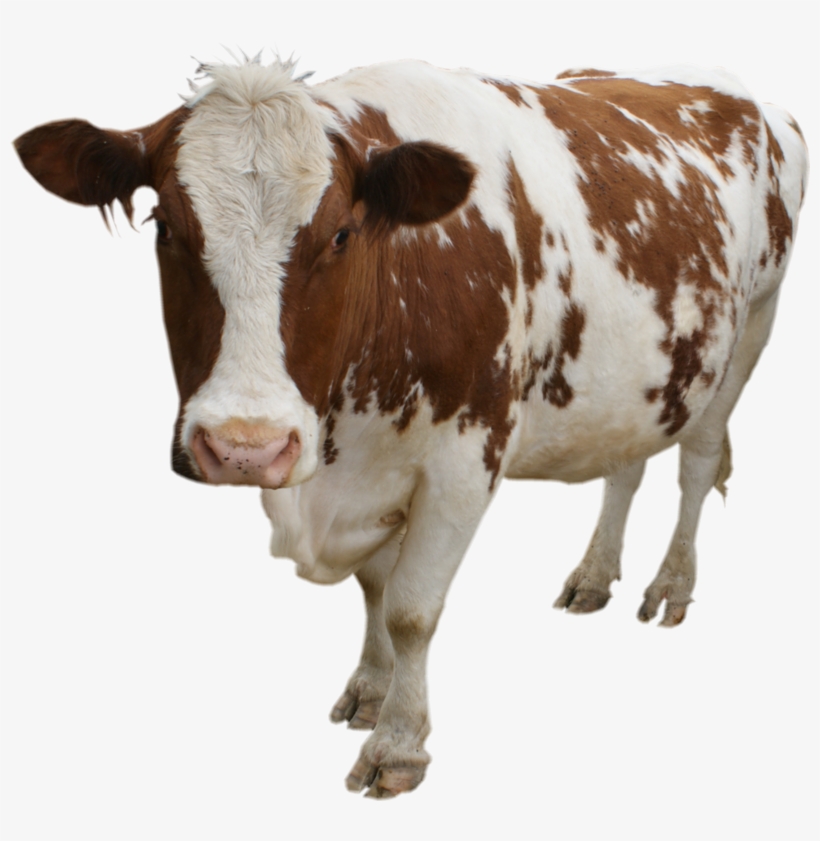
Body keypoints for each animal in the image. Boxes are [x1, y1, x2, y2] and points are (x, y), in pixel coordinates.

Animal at [15, 56, 808, 798]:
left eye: (341, 233)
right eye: (165, 228)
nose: (245, 447)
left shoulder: (465, 460)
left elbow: (411, 609)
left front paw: (398, 744)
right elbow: (374, 586)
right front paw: (370, 689)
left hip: (750, 331)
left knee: (697, 464)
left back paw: (671, 583)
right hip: (641, 376)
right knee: (627, 465)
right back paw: (593, 573)